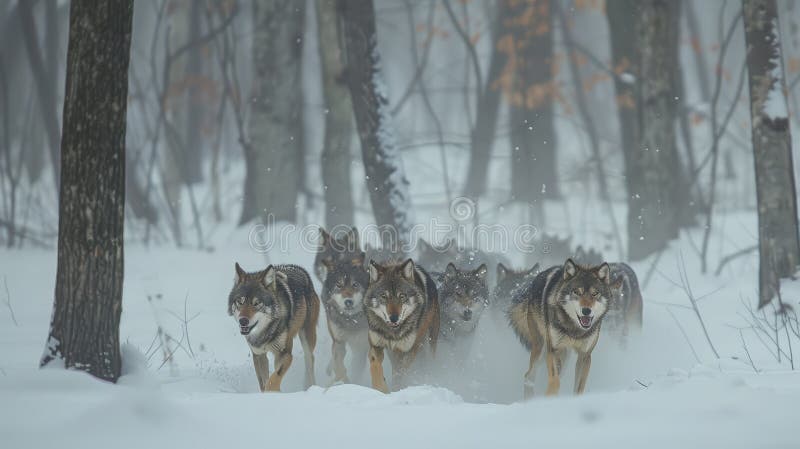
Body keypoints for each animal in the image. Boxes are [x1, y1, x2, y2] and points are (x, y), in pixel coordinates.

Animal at [228, 263, 320, 392]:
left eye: (256, 303)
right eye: (240, 302)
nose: (243, 321)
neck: (265, 333)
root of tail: (298, 268)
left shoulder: (285, 353)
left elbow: (273, 379)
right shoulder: (258, 355)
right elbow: (265, 382)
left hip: (307, 337)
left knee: (310, 360)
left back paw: (309, 386)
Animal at [320, 254, 370, 383]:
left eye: (355, 284)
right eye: (339, 285)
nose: (348, 302)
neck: (350, 319)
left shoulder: (361, 346)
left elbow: (356, 369)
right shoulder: (339, 341)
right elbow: (339, 367)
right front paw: (342, 381)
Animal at [364, 259, 440, 393]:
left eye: (402, 296)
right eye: (384, 296)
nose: (394, 318)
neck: (392, 333)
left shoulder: (409, 350)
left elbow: (400, 374)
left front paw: (395, 390)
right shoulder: (376, 344)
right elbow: (375, 365)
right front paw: (381, 389)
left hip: (428, 344)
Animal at [508, 259, 622, 398]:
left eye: (595, 294)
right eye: (577, 292)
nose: (586, 311)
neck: (574, 330)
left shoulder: (585, 355)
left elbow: (579, 388)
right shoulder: (553, 350)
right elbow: (555, 381)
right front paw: (550, 396)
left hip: (563, 357)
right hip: (541, 349)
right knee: (528, 376)